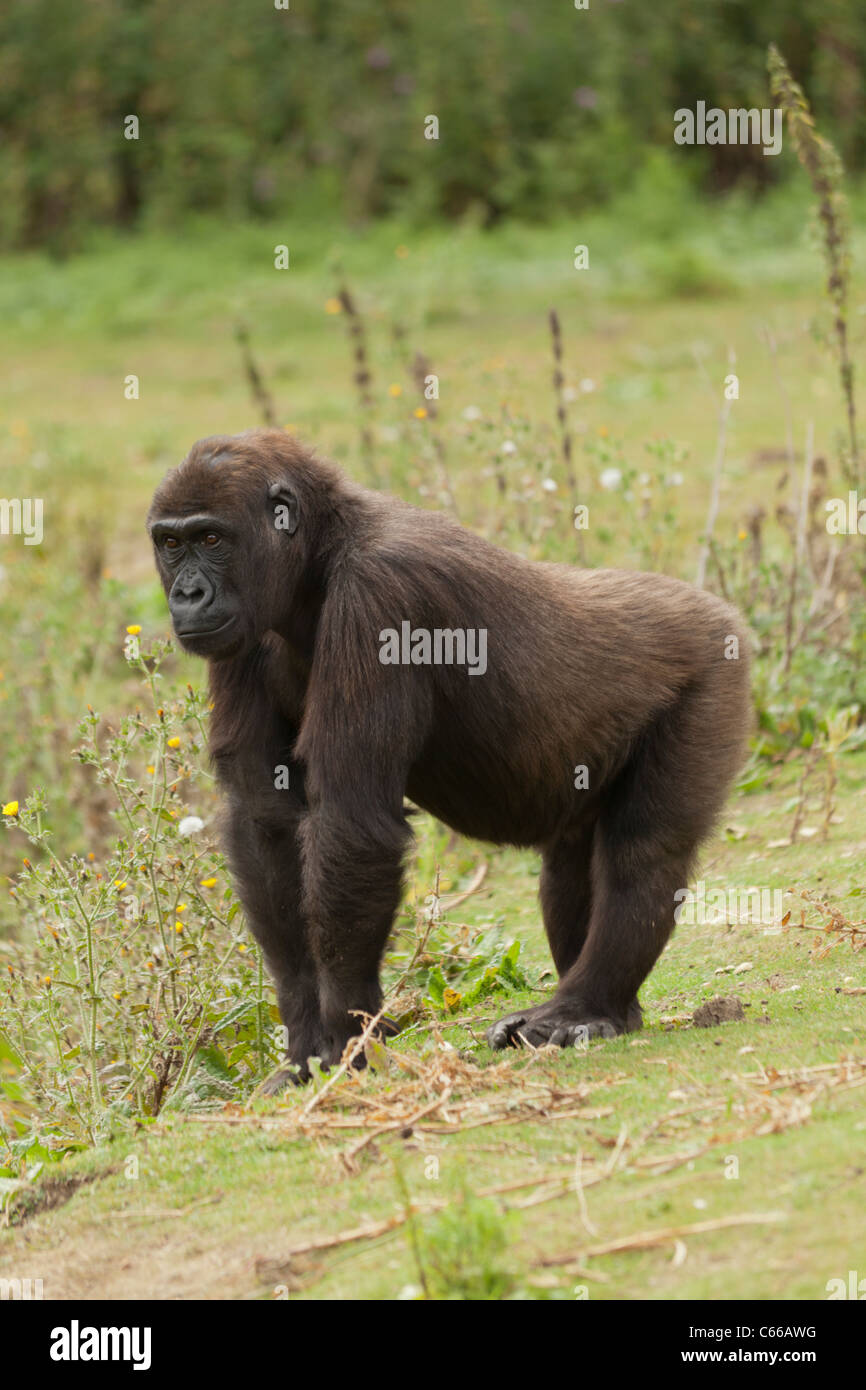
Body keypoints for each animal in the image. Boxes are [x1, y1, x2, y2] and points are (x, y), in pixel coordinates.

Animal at [148, 428, 751, 1085]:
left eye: (211, 539)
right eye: (171, 544)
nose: (187, 594)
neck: (318, 555)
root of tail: (721, 612)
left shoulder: (381, 594)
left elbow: (351, 821)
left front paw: (347, 1034)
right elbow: (265, 815)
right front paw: (307, 1038)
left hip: (712, 666)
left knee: (642, 852)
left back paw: (586, 1008)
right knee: (571, 862)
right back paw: (608, 1011)